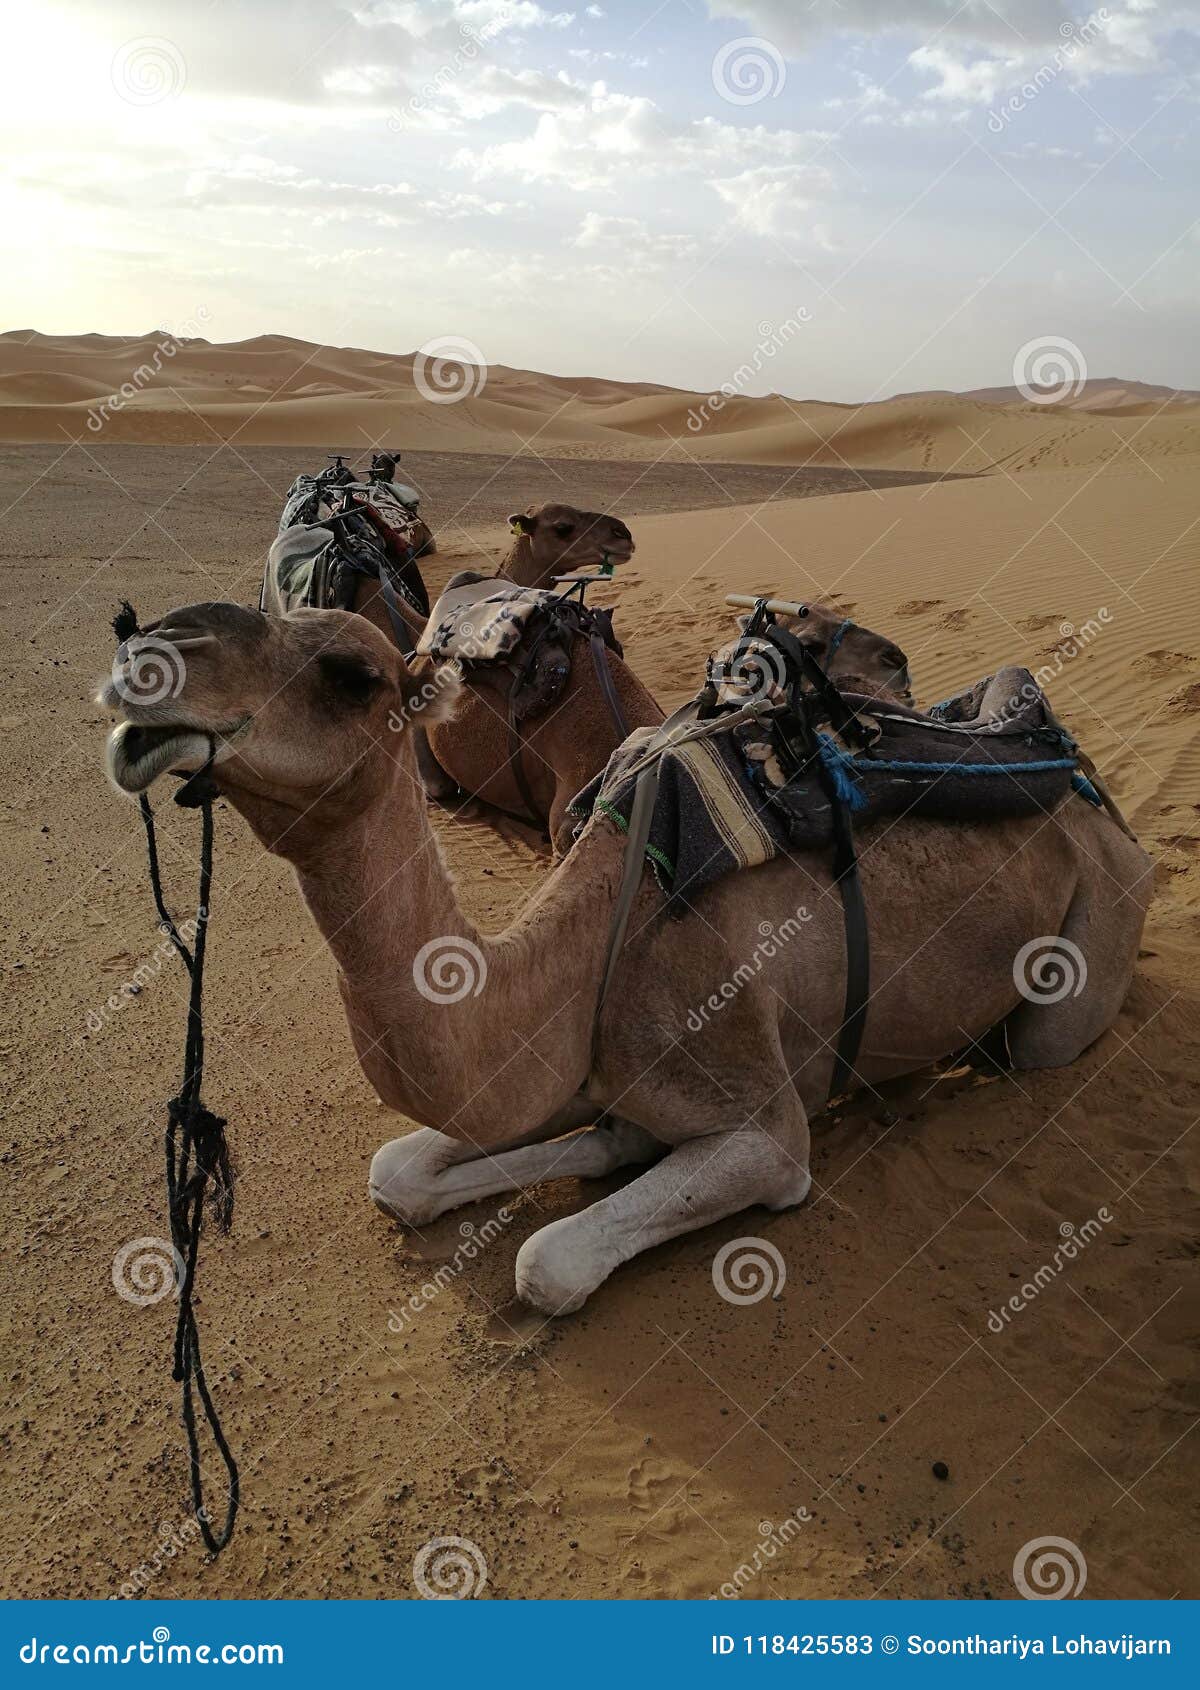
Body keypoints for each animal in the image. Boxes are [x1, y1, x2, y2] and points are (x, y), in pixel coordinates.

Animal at [102, 602, 1151, 1317]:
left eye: (353, 674)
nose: (146, 654)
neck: (593, 942)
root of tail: (1097, 798)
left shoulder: (768, 1130)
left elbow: (547, 1263)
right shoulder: (571, 1061)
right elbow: (400, 1171)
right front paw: (613, 1142)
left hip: (1089, 942)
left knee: (1039, 1043)